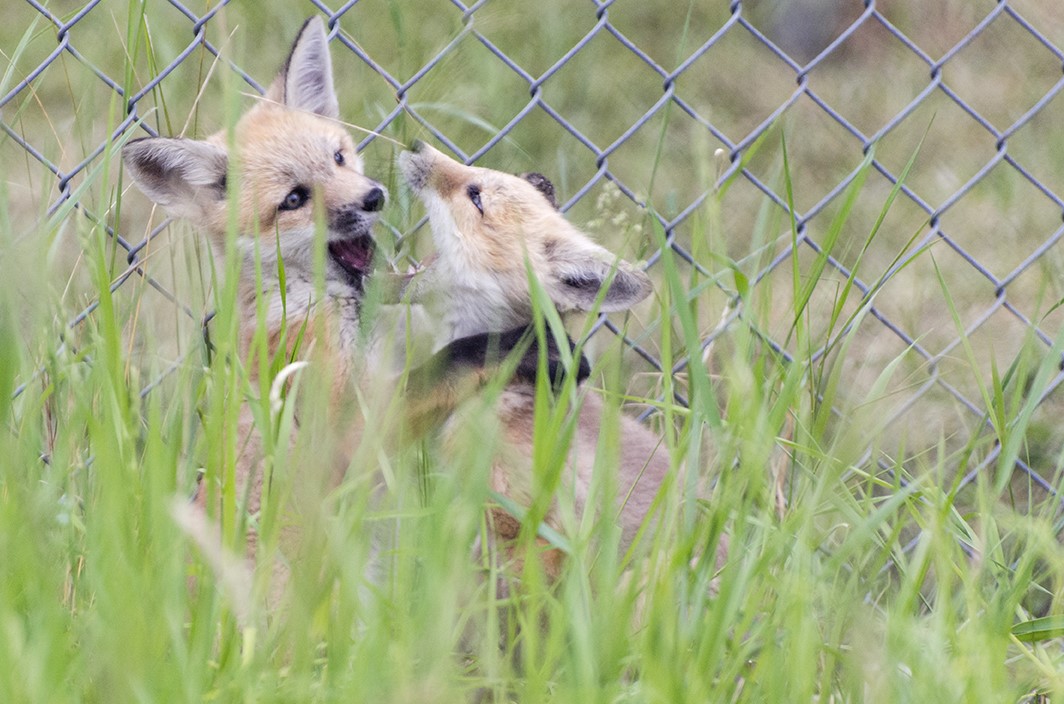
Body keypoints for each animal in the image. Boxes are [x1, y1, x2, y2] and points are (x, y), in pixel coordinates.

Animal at [120, 18, 575, 581]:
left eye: (338, 157)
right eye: (295, 199)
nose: (373, 198)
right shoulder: (339, 432)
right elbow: (449, 362)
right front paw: (524, 346)